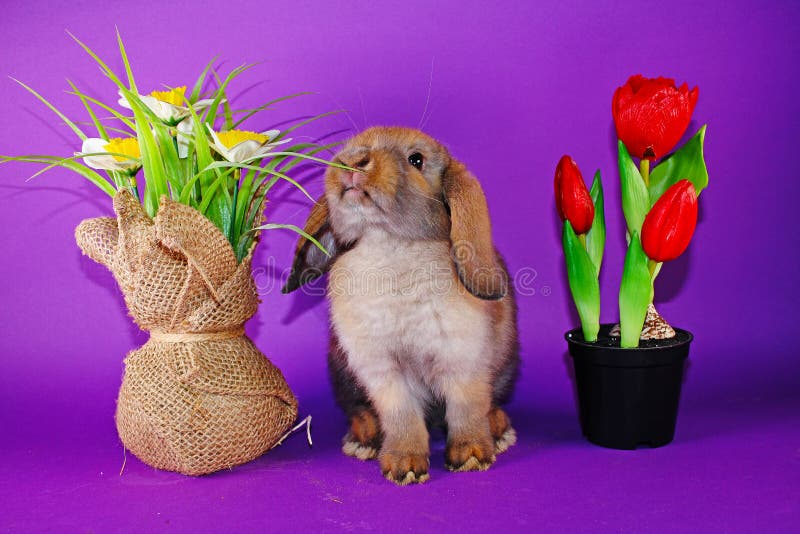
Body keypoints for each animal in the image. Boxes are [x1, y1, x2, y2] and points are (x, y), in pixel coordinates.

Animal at [283, 126, 519, 485]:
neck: (390, 244)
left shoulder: (463, 361)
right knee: (360, 411)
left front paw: (472, 455)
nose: (353, 161)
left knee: (491, 404)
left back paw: (499, 430)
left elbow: (467, 408)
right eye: (349, 147)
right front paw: (404, 465)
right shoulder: (382, 370)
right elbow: (401, 415)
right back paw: (363, 440)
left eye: (416, 160)